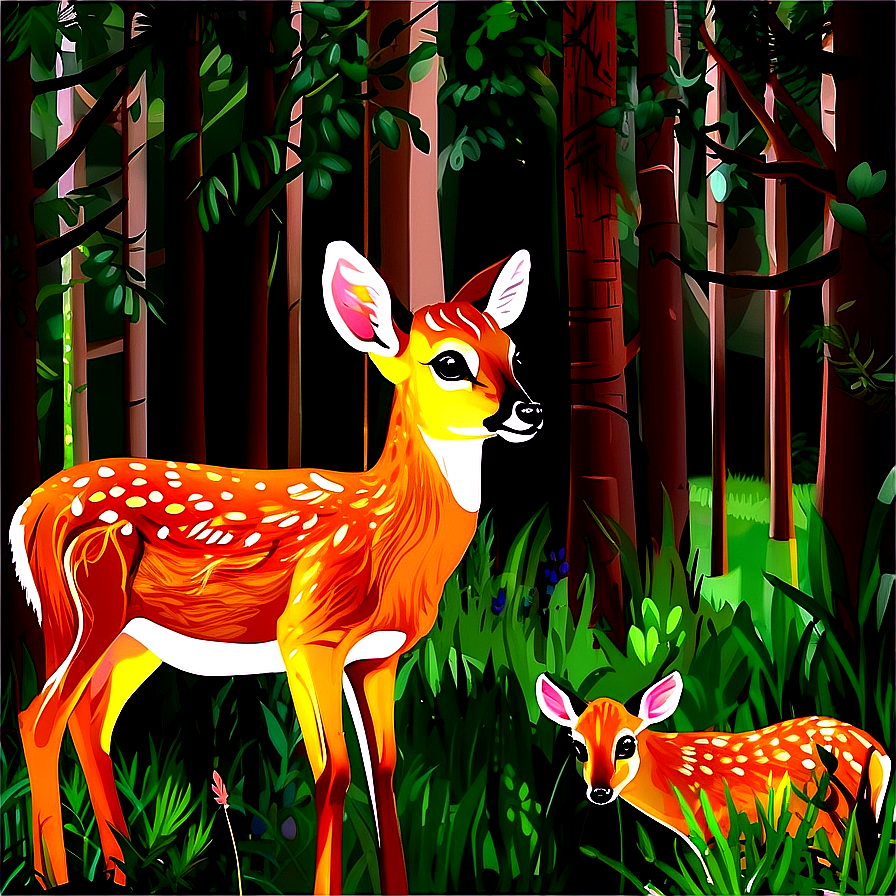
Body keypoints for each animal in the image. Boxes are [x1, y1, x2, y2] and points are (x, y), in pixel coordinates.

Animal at [9, 241, 543, 894]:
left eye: (514, 353)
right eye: (449, 362)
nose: (530, 409)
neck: (388, 536)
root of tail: (32, 511)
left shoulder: (381, 655)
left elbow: (384, 771)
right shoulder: (307, 632)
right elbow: (333, 774)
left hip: (137, 640)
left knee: (91, 721)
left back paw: (124, 870)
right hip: (91, 610)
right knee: (39, 719)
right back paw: (53, 878)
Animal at [536, 672, 890, 877]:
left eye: (626, 744)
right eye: (578, 747)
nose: (599, 792)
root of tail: (880, 753)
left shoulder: (732, 832)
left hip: (835, 824)